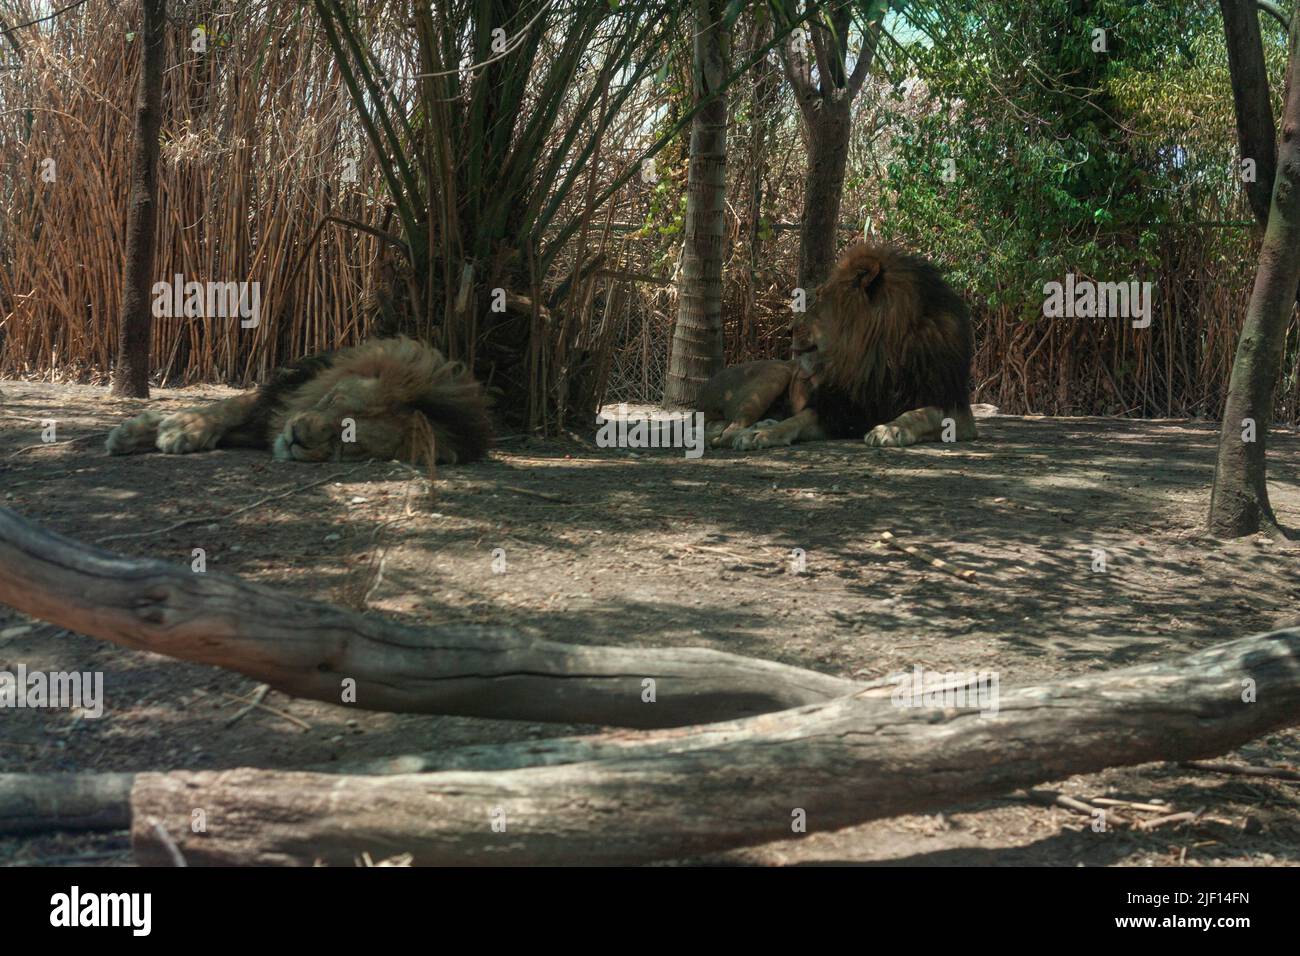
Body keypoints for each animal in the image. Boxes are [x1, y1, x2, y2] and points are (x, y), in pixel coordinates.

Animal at [106, 337, 492, 465]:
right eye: (335, 400)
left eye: (347, 443)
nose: (297, 437)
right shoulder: (283, 390)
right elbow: (226, 407)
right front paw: (172, 428)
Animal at [701, 242, 976, 450]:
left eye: (819, 300)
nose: (788, 330)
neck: (880, 357)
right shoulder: (840, 408)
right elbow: (797, 420)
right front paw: (761, 434)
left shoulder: (957, 409)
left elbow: (922, 413)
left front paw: (890, 429)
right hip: (773, 374)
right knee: (725, 433)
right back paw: (753, 428)